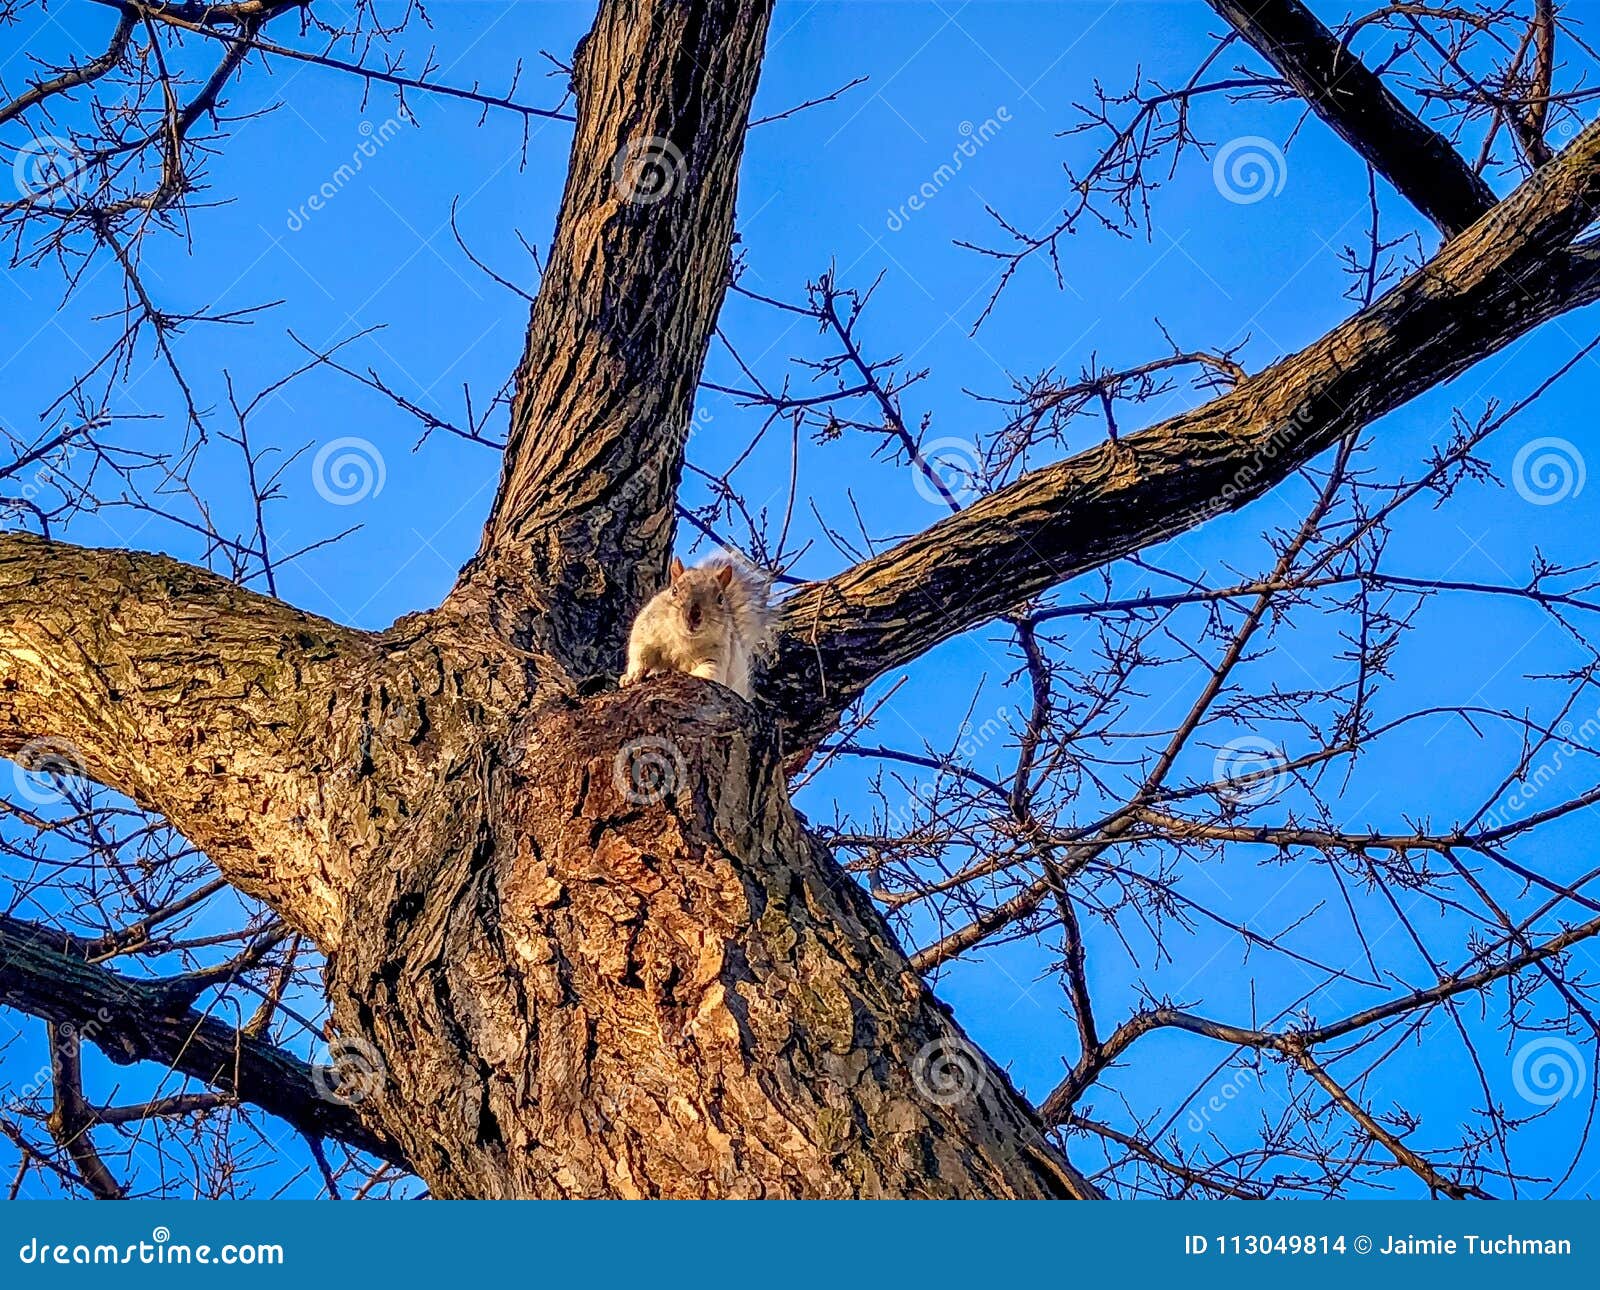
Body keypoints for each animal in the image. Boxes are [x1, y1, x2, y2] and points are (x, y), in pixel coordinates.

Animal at [621, 553, 776, 700]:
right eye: (674, 590)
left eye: (720, 598)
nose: (693, 616)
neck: (684, 639)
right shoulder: (647, 630)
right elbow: (640, 653)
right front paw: (631, 676)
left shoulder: (718, 653)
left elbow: (710, 670)